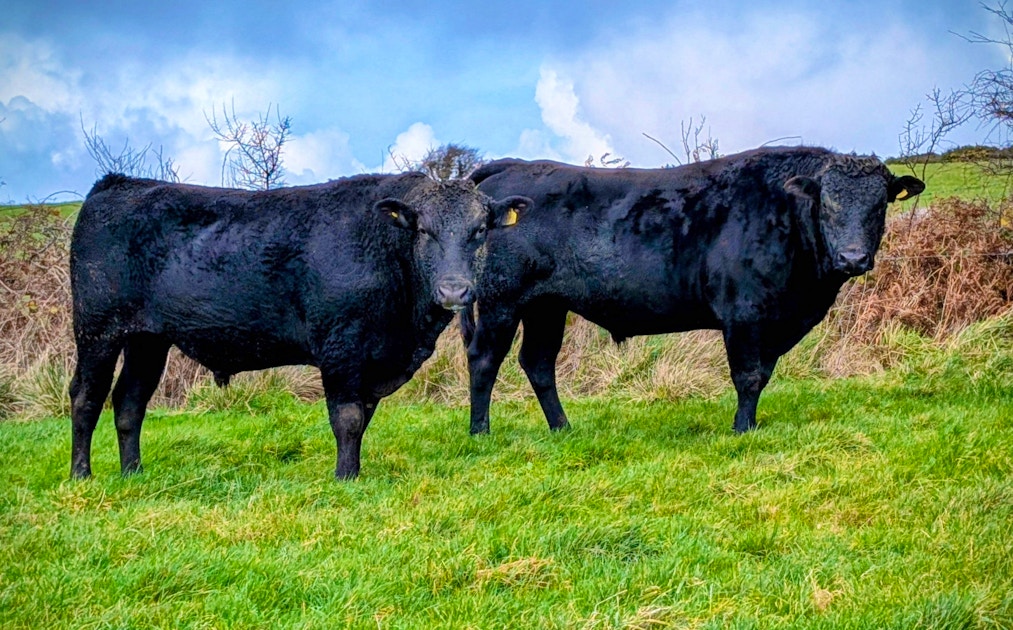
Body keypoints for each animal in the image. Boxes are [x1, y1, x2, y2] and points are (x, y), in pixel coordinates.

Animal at [69, 172, 531, 479]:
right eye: (423, 230)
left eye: (479, 230)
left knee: (129, 401)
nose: (454, 290)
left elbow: (363, 416)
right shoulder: (341, 348)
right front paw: (346, 478)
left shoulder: (373, 360)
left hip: (147, 340)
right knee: (86, 397)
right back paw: (82, 475)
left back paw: (133, 472)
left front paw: (353, 469)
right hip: (97, 331)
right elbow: (347, 417)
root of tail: (118, 184)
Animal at [463, 146, 924, 435]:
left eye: (879, 204)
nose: (852, 257)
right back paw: (480, 432)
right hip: (502, 302)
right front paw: (742, 430)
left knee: (538, 362)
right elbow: (748, 376)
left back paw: (563, 428)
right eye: (827, 204)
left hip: (546, 306)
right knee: (484, 360)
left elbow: (763, 374)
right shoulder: (744, 314)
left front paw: (750, 424)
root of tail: (512, 167)